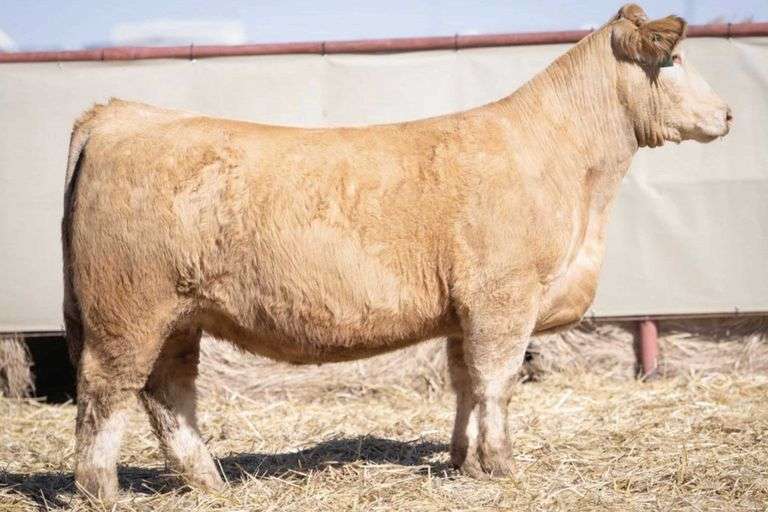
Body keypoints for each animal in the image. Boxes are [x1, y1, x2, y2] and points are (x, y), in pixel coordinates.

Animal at [62, 4, 731, 502]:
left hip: (178, 316)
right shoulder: (503, 297)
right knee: (106, 393)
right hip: (129, 310)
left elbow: (465, 383)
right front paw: (503, 465)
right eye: (674, 59)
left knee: (167, 395)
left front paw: (464, 461)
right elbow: (497, 381)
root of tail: (120, 114)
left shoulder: (466, 309)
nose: (727, 113)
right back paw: (102, 490)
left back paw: (210, 482)